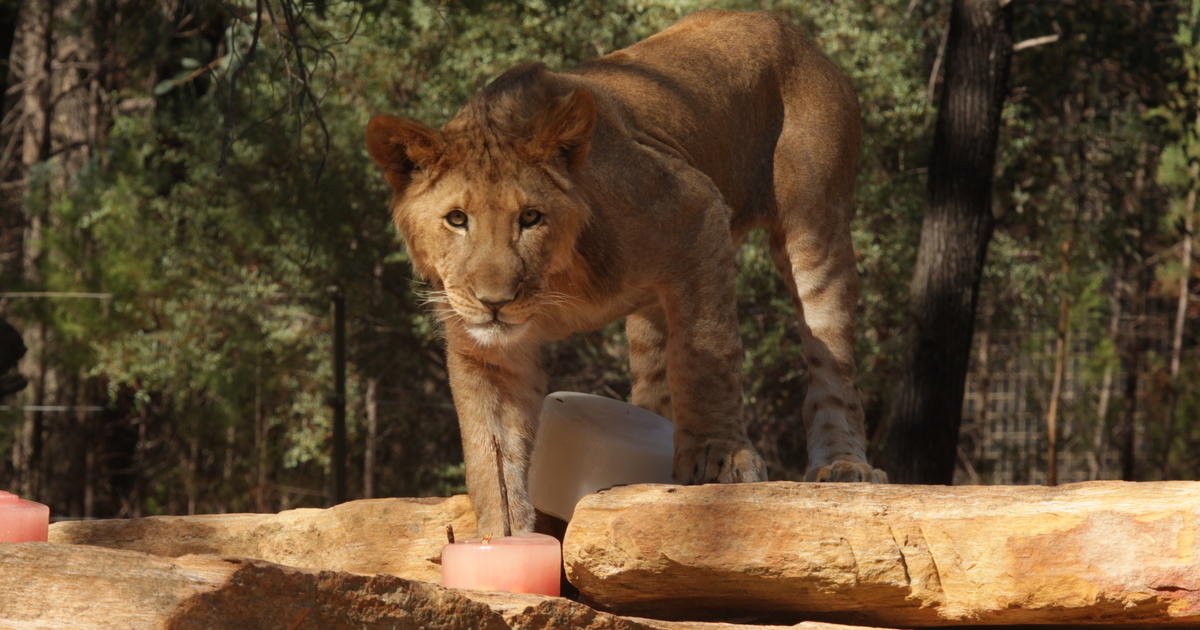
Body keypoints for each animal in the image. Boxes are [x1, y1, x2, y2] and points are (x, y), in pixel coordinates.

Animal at [366, 9, 888, 536]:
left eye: (530, 217)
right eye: (457, 219)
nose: (495, 302)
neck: (558, 282)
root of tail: (781, 22)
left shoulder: (696, 207)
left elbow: (707, 355)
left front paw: (719, 456)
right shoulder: (485, 347)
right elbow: (492, 452)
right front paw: (502, 538)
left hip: (814, 226)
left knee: (831, 361)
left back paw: (843, 465)